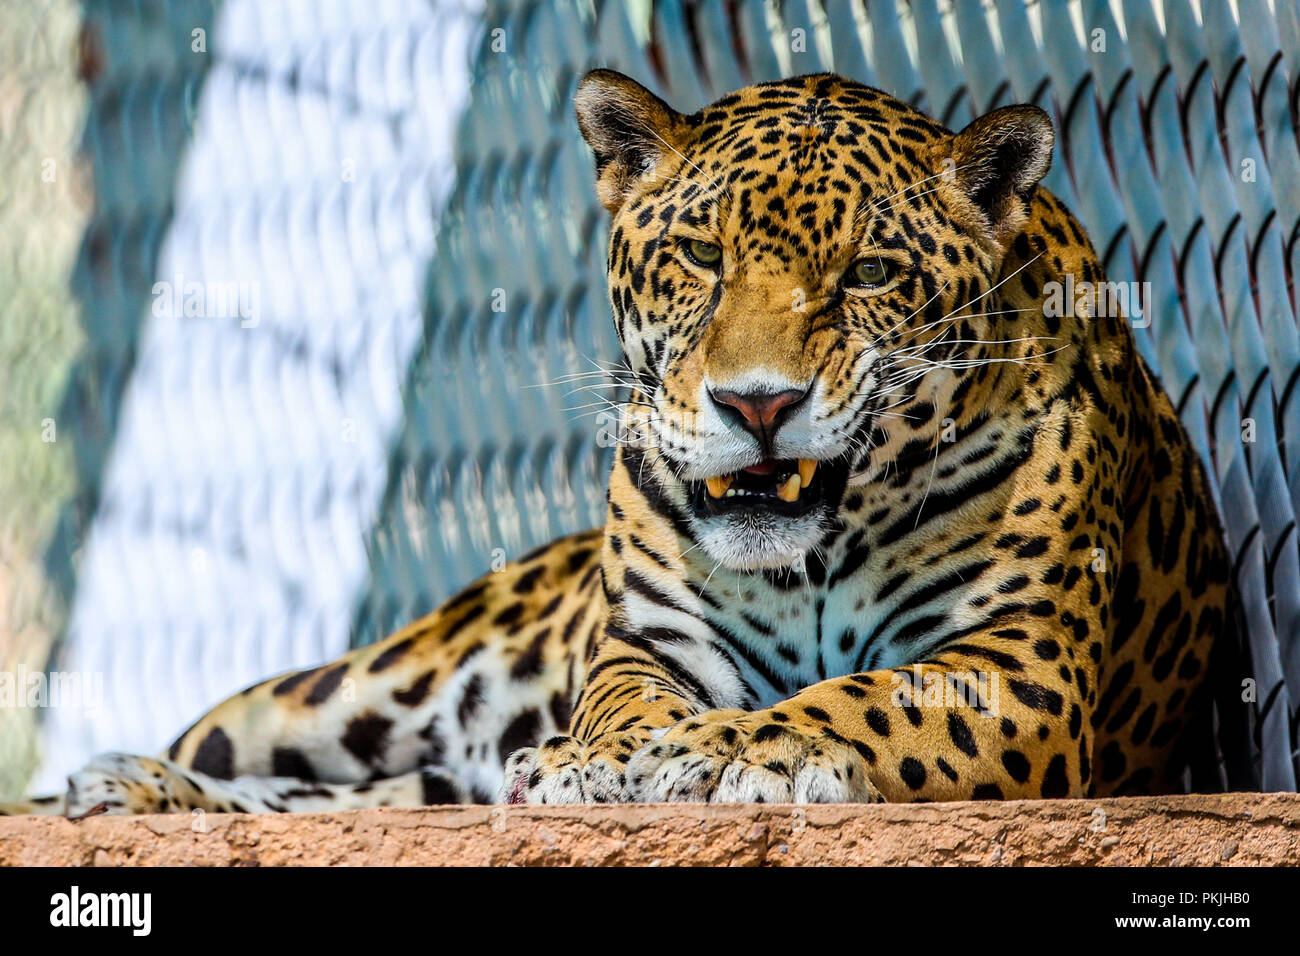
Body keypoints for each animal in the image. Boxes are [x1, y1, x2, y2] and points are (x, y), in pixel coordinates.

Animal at [2, 70, 1233, 816]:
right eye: (698, 255)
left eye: (871, 274)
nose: (756, 404)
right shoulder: (647, 639)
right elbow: (625, 703)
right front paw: (605, 758)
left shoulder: (1018, 664)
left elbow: (861, 700)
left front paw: (744, 749)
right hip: (346, 692)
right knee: (246, 760)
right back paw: (126, 786)